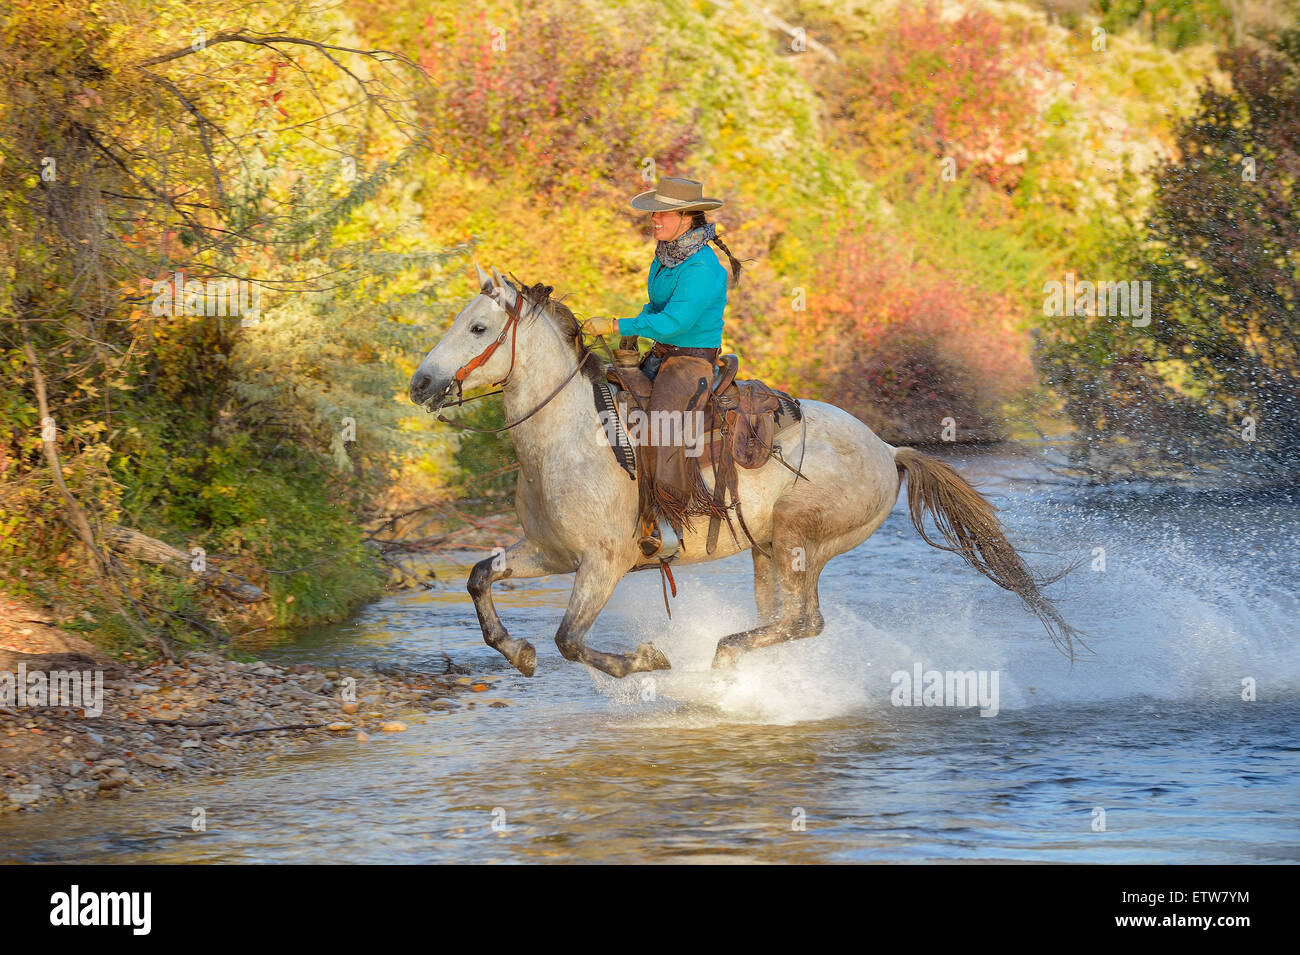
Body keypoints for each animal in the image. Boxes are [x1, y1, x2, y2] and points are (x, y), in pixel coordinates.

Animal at [408, 264, 1079, 679]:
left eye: (477, 327)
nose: (420, 384)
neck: (571, 439)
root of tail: (889, 450)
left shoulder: (603, 563)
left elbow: (569, 640)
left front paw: (647, 661)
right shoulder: (549, 554)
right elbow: (478, 578)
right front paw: (516, 653)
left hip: (801, 541)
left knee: (803, 621)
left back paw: (725, 657)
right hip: (767, 550)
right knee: (784, 621)